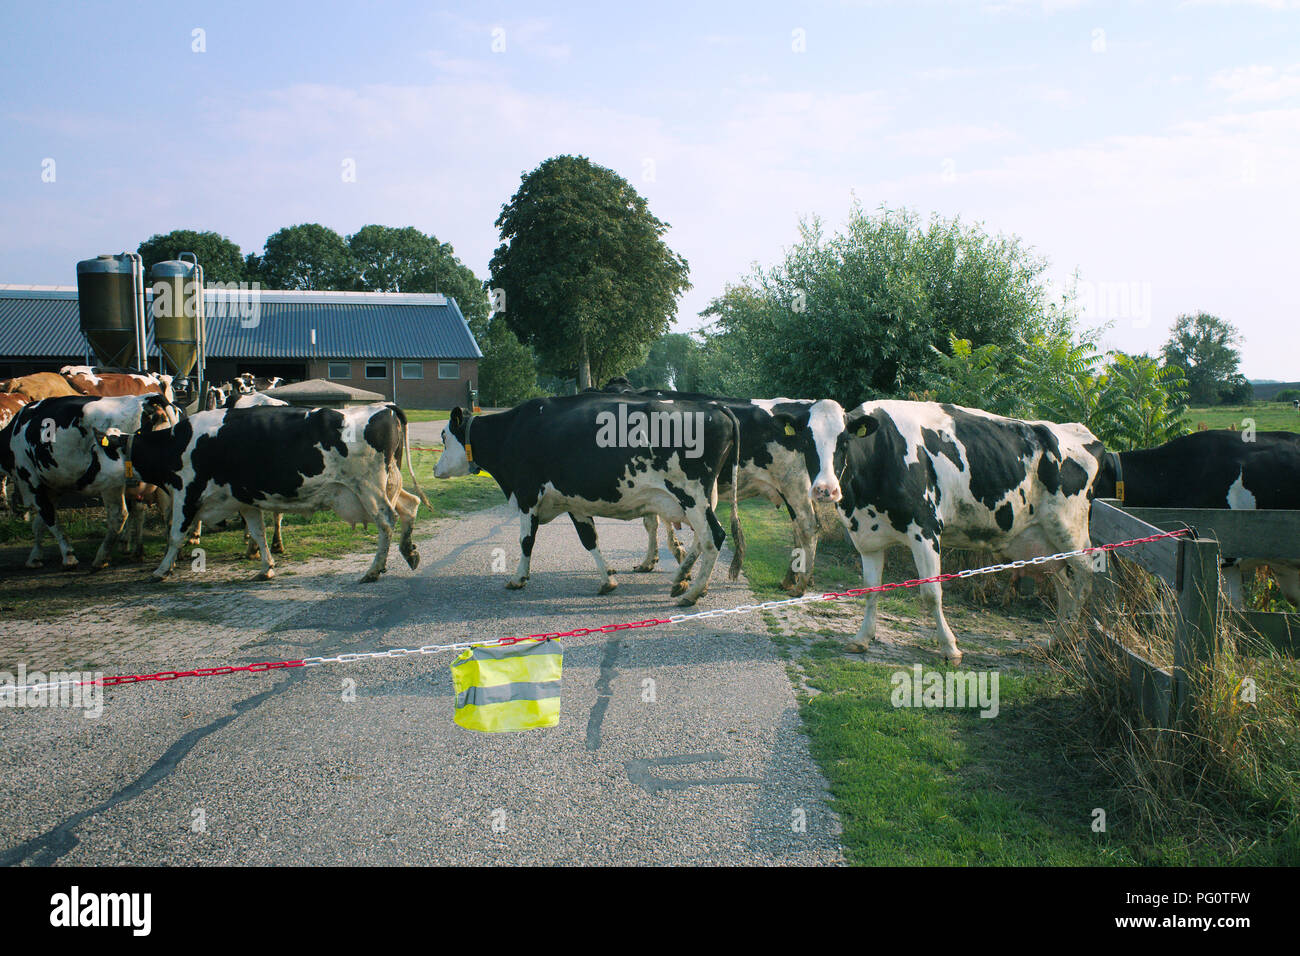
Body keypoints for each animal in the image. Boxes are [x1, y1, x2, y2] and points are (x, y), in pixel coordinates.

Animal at [0, 393, 178, 570]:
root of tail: (146, 399)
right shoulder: (53, 487)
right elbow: (39, 524)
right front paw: (35, 556)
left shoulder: (31, 484)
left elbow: (49, 519)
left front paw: (68, 556)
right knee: (168, 515)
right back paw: (163, 558)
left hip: (112, 484)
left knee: (118, 516)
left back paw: (101, 558)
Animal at [130, 403, 429, 583]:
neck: (177, 442)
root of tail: (384, 407)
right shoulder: (245, 499)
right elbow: (258, 532)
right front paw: (266, 568)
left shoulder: (187, 491)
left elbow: (175, 535)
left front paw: (160, 570)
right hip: (387, 483)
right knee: (410, 505)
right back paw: (409, 551)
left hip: (368, 487)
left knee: (387, 520)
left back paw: (374, 569)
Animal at [433, 393, 744, 605]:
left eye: (444, 437)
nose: (435, 469)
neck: (512, 431)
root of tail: (715, 407)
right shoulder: (574, 502)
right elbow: (589, 539)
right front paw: (608, 579)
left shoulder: (527, 495)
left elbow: (526, 540)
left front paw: (518, 578)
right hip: (702, 498)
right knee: (702, 539)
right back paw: (683, 579)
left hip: (692, 495)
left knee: (714, 536)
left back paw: (691, 592)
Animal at [798, 399, 1106, 663]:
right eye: (807, 443)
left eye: (844, 441)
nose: (825, 490)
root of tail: (1079, 431)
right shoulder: (867, 536)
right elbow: (870, 590)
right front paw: (862, 638)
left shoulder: (925, 529)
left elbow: (932, 593)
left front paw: (950, 648)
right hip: (1044, 544)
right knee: (1065, 585)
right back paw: (1056, 643)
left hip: (1071, 531)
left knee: (1083, 581)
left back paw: (1067, 642)